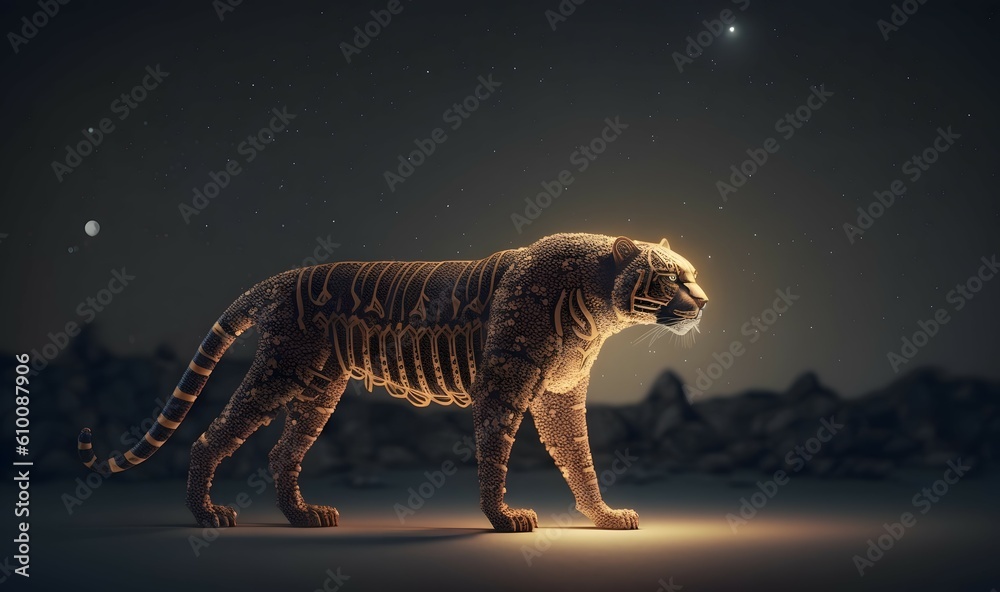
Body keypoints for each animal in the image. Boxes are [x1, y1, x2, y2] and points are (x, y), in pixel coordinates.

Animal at [77, 232, 708, 532]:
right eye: (669, 278)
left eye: (693, 275)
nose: (703, 300)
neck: (600, 309)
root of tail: (280, 279)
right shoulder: (504, 387)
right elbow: (496, 454)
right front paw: (503, 519)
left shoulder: (558, 396)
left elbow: (578, 458)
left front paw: (604, 517)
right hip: (281, 372)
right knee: (215, 434)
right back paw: (208, 514)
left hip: (319, 389)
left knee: (282, 452)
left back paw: (304, 516)